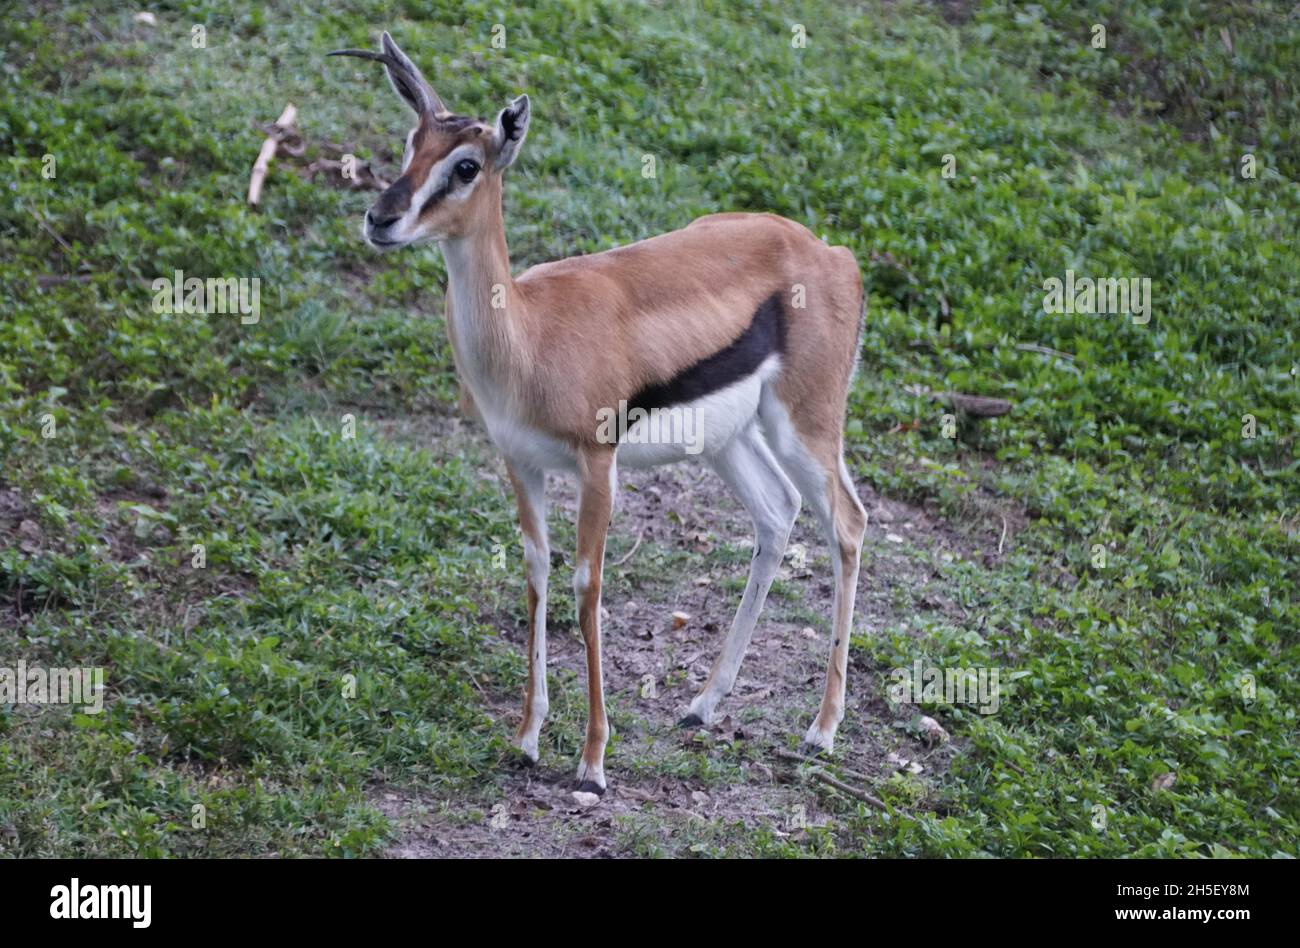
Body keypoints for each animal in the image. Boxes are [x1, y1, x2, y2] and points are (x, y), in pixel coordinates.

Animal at [330, 33, 868, 795]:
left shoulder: (597, 463)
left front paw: (591, 760)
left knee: (847, 524)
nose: (381, 218)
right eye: (411, 143)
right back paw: (702, 704)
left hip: (808, 424)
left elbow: (587, 586)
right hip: (730, 442)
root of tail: (833, 253)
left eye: (466, 165)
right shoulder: (521, 462)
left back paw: (821, 729)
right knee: (777, 513)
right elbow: (536, 571)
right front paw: (526, 739)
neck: (528, 336)